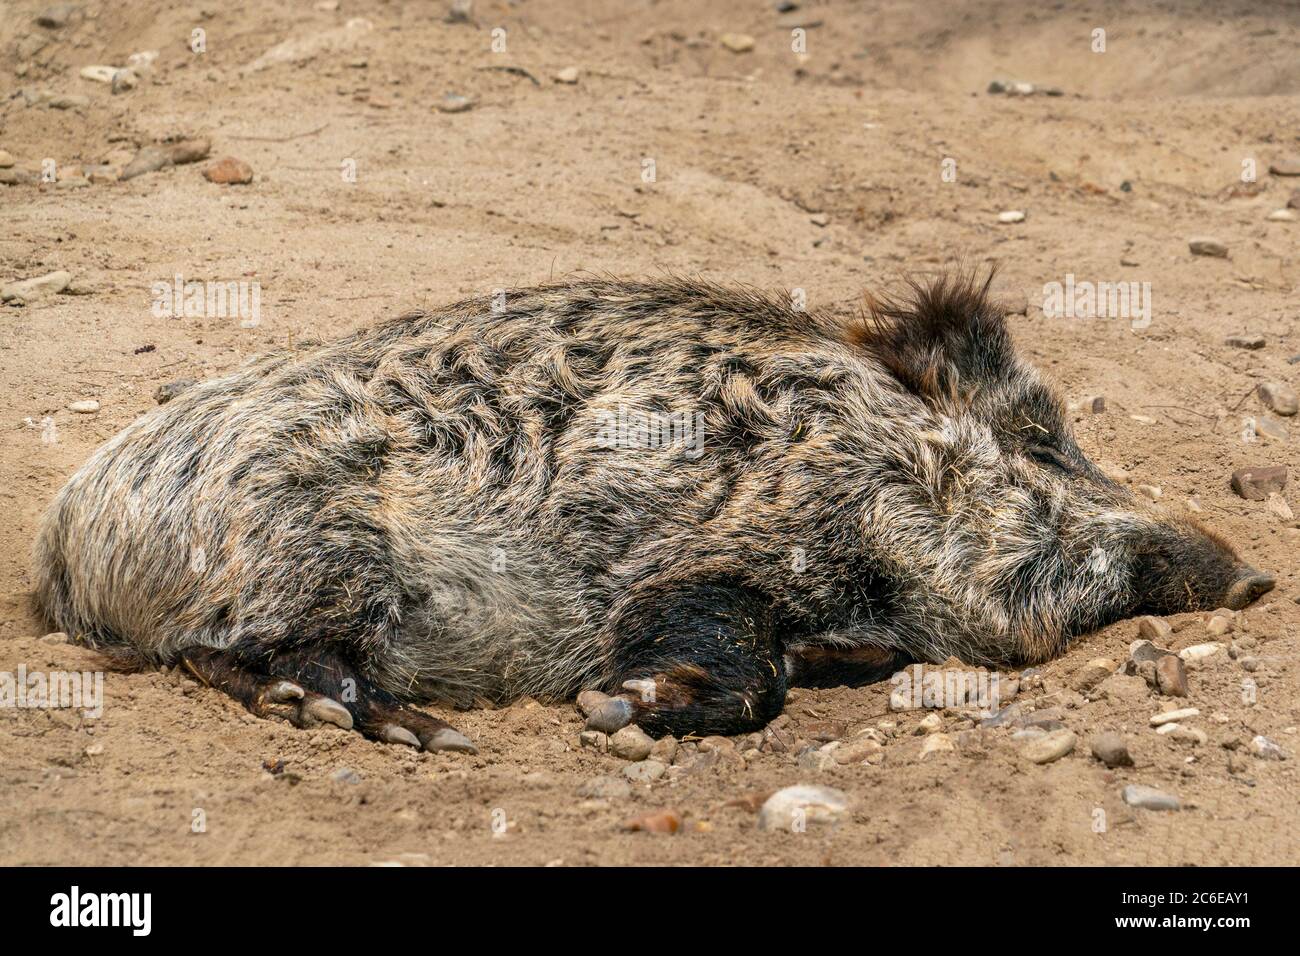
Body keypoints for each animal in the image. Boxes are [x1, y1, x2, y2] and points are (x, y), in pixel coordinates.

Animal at [32, 273, 1275, 750]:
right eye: (1038, 443)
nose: (1253, 571)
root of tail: (63, 540)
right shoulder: (706, 561)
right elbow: (734, 658)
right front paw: (616, 709)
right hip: (313, 546)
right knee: (233, 649)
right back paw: (412, 727)